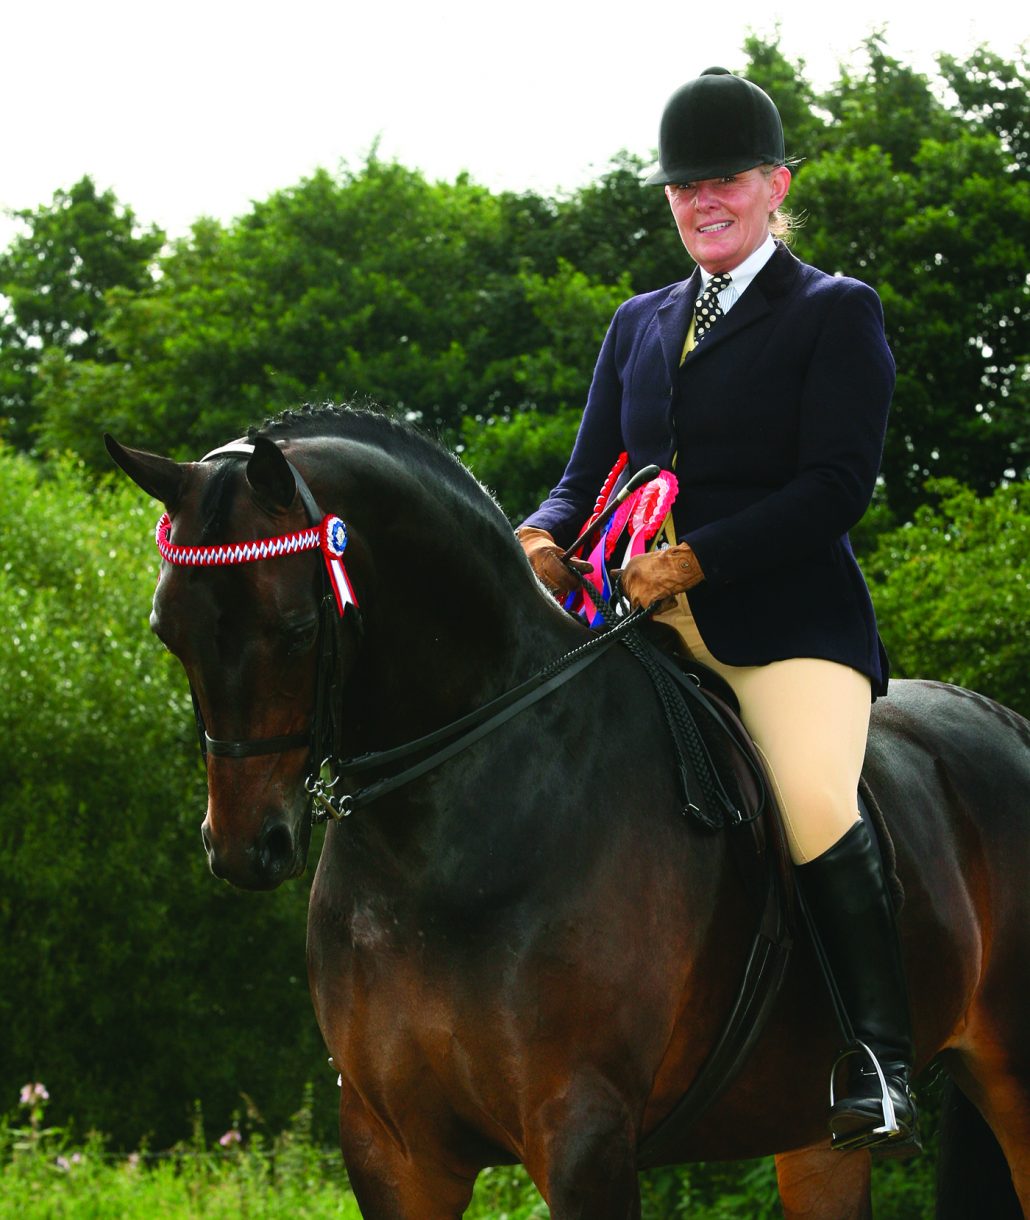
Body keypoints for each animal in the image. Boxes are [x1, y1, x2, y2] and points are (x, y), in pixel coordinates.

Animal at [106, 405, 1030, 1219]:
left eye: (298, 628)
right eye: (166, 631)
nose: (244, 848)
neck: (443, 844)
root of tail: (1005, 723)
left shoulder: (582, 1134)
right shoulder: (393, 1149)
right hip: (807, 1128)